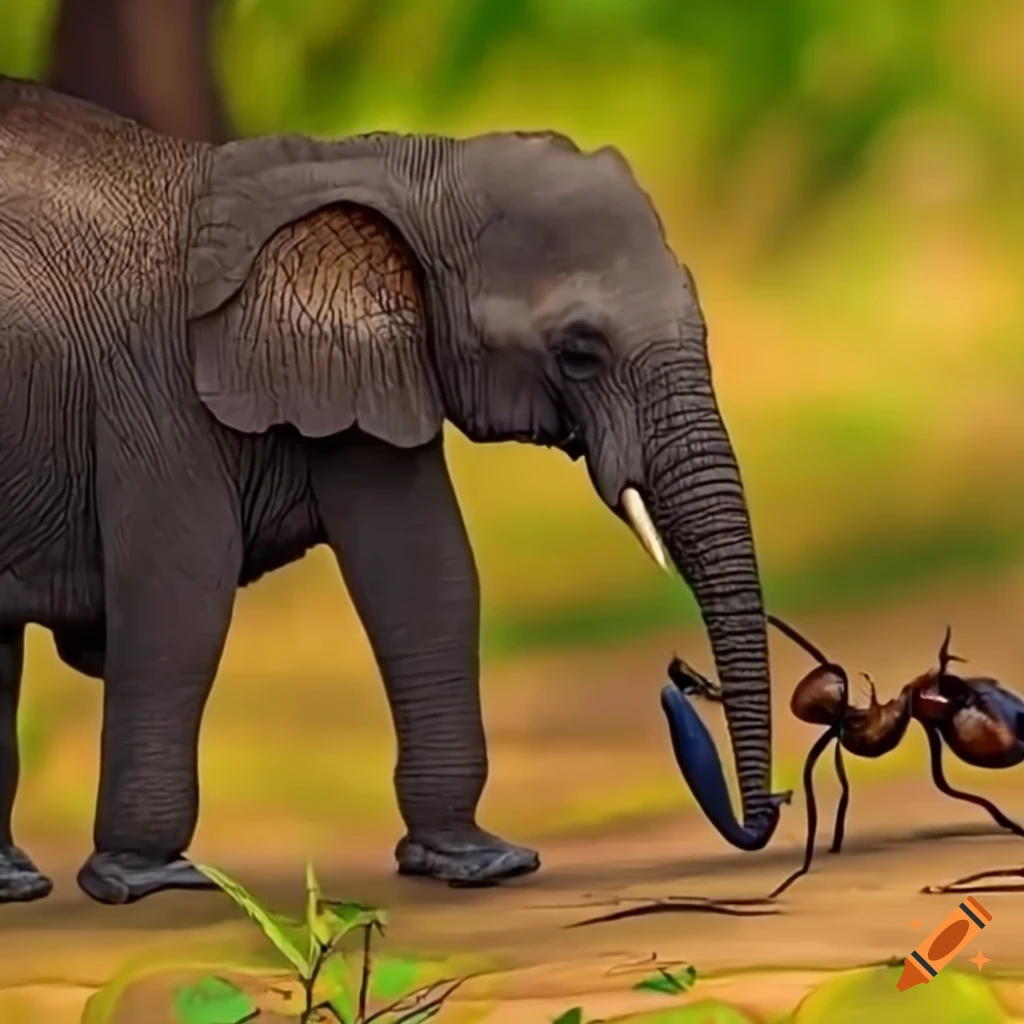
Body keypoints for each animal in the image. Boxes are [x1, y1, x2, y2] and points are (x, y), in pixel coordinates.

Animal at [0, 74, 786, 905]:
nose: (754, 825)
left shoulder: (364, 373)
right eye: (579, 351)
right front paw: (147, 877)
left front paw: (478, 863)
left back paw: (14, 882)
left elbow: (425, 574)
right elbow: (182, 598)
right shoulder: (156, 392)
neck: (386, 171)